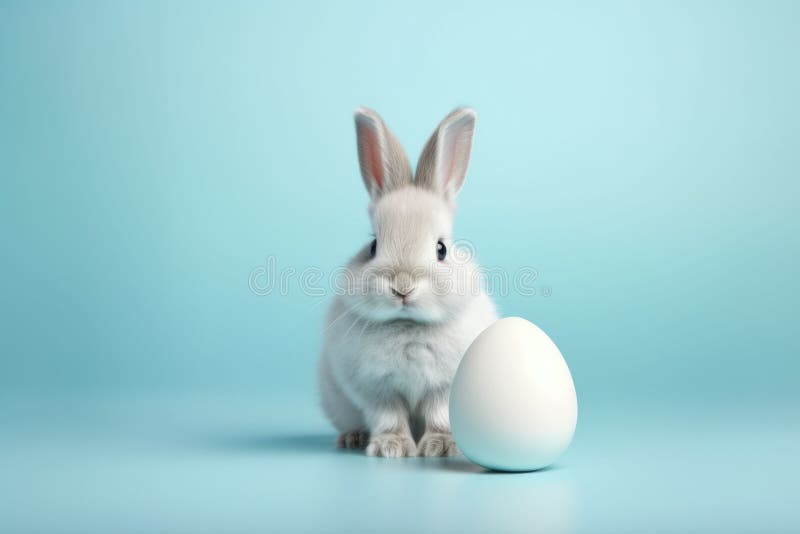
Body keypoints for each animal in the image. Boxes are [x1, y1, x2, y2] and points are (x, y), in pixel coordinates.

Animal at [317, 107, 498, 458]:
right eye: (373, 246)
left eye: (441, 249)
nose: (402, 287)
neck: (407, 325)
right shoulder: (376, 389)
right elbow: (389, 417)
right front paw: (391, 447)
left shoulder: (443, 387)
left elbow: (439, 415)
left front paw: (441, 446)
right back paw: (353, 438)